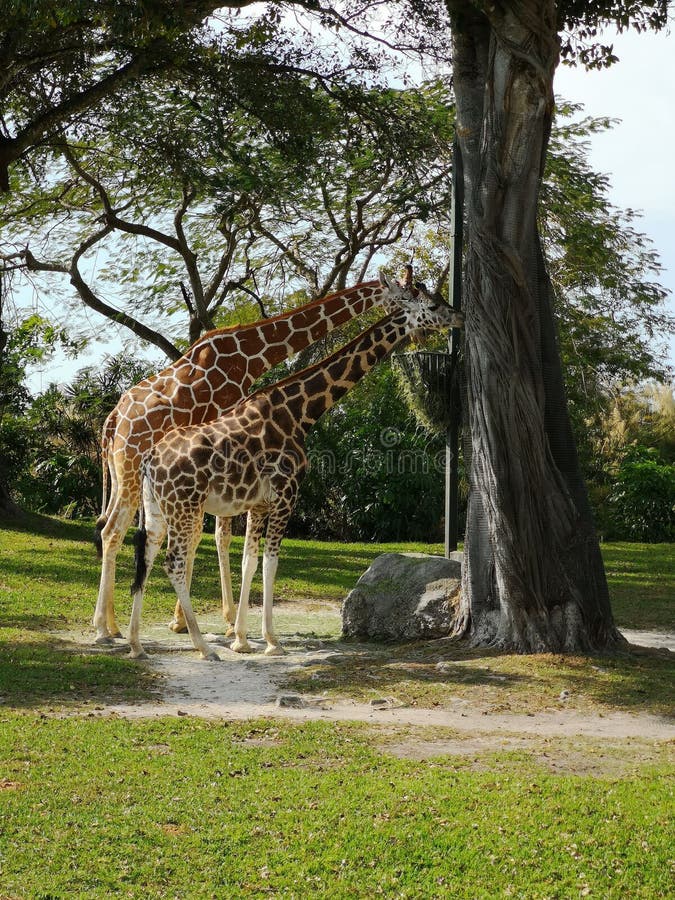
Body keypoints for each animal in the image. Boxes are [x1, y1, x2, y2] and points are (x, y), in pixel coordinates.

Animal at [127, 279, 464, 660]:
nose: (460, 317)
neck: (299, 412)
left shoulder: (259, 503)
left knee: (146, 556)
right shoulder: (286, 495)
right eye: (433, 306)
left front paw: (242, 639)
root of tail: (150, 460)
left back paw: (136, 644)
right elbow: (271, 562)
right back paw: (202, 646)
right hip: (186, 508)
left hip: (157, 510)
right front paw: (272, 642)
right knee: (174, 562)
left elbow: (249, 561)